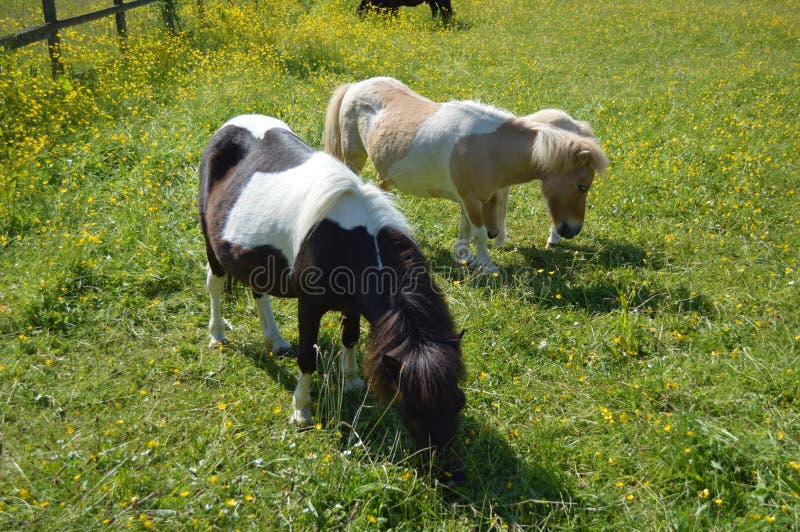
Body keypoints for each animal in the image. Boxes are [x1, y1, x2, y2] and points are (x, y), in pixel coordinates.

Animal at [199, 114, 466, 484]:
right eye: (410, 409)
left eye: (459, 403)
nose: (450, 475)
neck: (349, 240)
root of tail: (231, 125)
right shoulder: (309, 306)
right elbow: (307, 358)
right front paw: (301, 411)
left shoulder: (353, 306)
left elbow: (350, 338)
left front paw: (351, 380)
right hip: (213, 247)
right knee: (214, 284)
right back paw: (217, 335)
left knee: (259, 293)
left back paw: (275, 341)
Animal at [323, 77, 609, 272]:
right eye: (583, 186)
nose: (571, 230)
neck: (489, 147)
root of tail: (355, 85)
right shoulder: (471, 198)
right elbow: (478, 231)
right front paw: (487, 266)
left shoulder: (471, 198)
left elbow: (466, 227)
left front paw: (464, 256)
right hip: (354, 159)